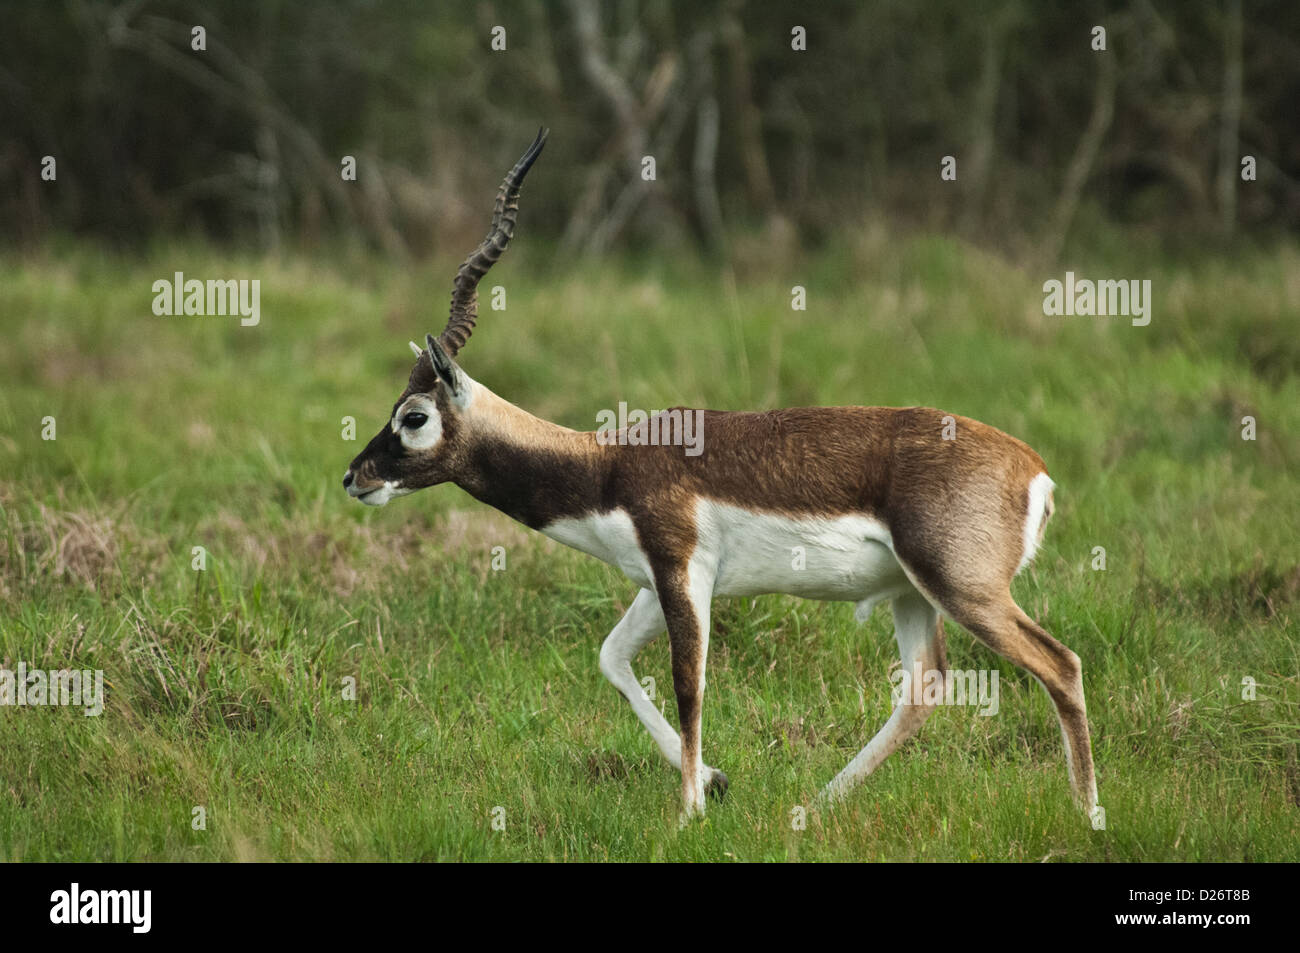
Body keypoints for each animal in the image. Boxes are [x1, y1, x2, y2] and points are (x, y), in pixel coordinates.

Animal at [343, 129, 1100, 823]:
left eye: (413, 416)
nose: (356, 476)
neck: (605, 464)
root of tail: (1033, 469)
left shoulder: (683, 573)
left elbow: (689, 683)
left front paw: (687, 812)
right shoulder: (654, 581)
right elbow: (611, 659)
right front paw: (713, 781)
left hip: (963, 588)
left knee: (1059, 664)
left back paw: (1087, 814)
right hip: (911, 592)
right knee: (926, 686)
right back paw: (818, 803)